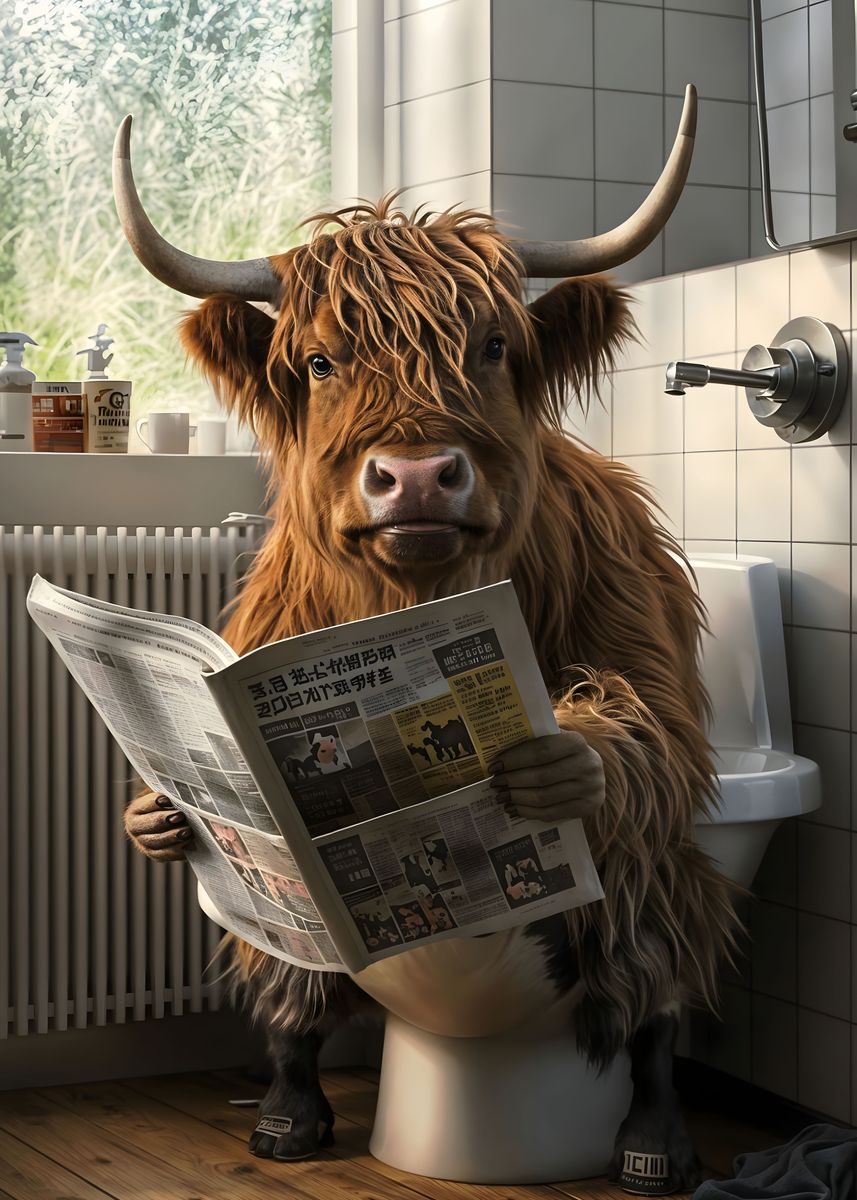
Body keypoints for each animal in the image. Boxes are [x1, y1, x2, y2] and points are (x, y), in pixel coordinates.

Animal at [119, 86, 736, 1190]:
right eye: (319, 361)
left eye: (491, 347)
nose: (413, 477)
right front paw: (153, 813)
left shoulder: (627, 595)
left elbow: (658, 736)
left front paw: (556, 765)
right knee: (294, 969)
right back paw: (287, 1106)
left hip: (645, 901)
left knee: (650, 928)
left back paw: (654, 1136)